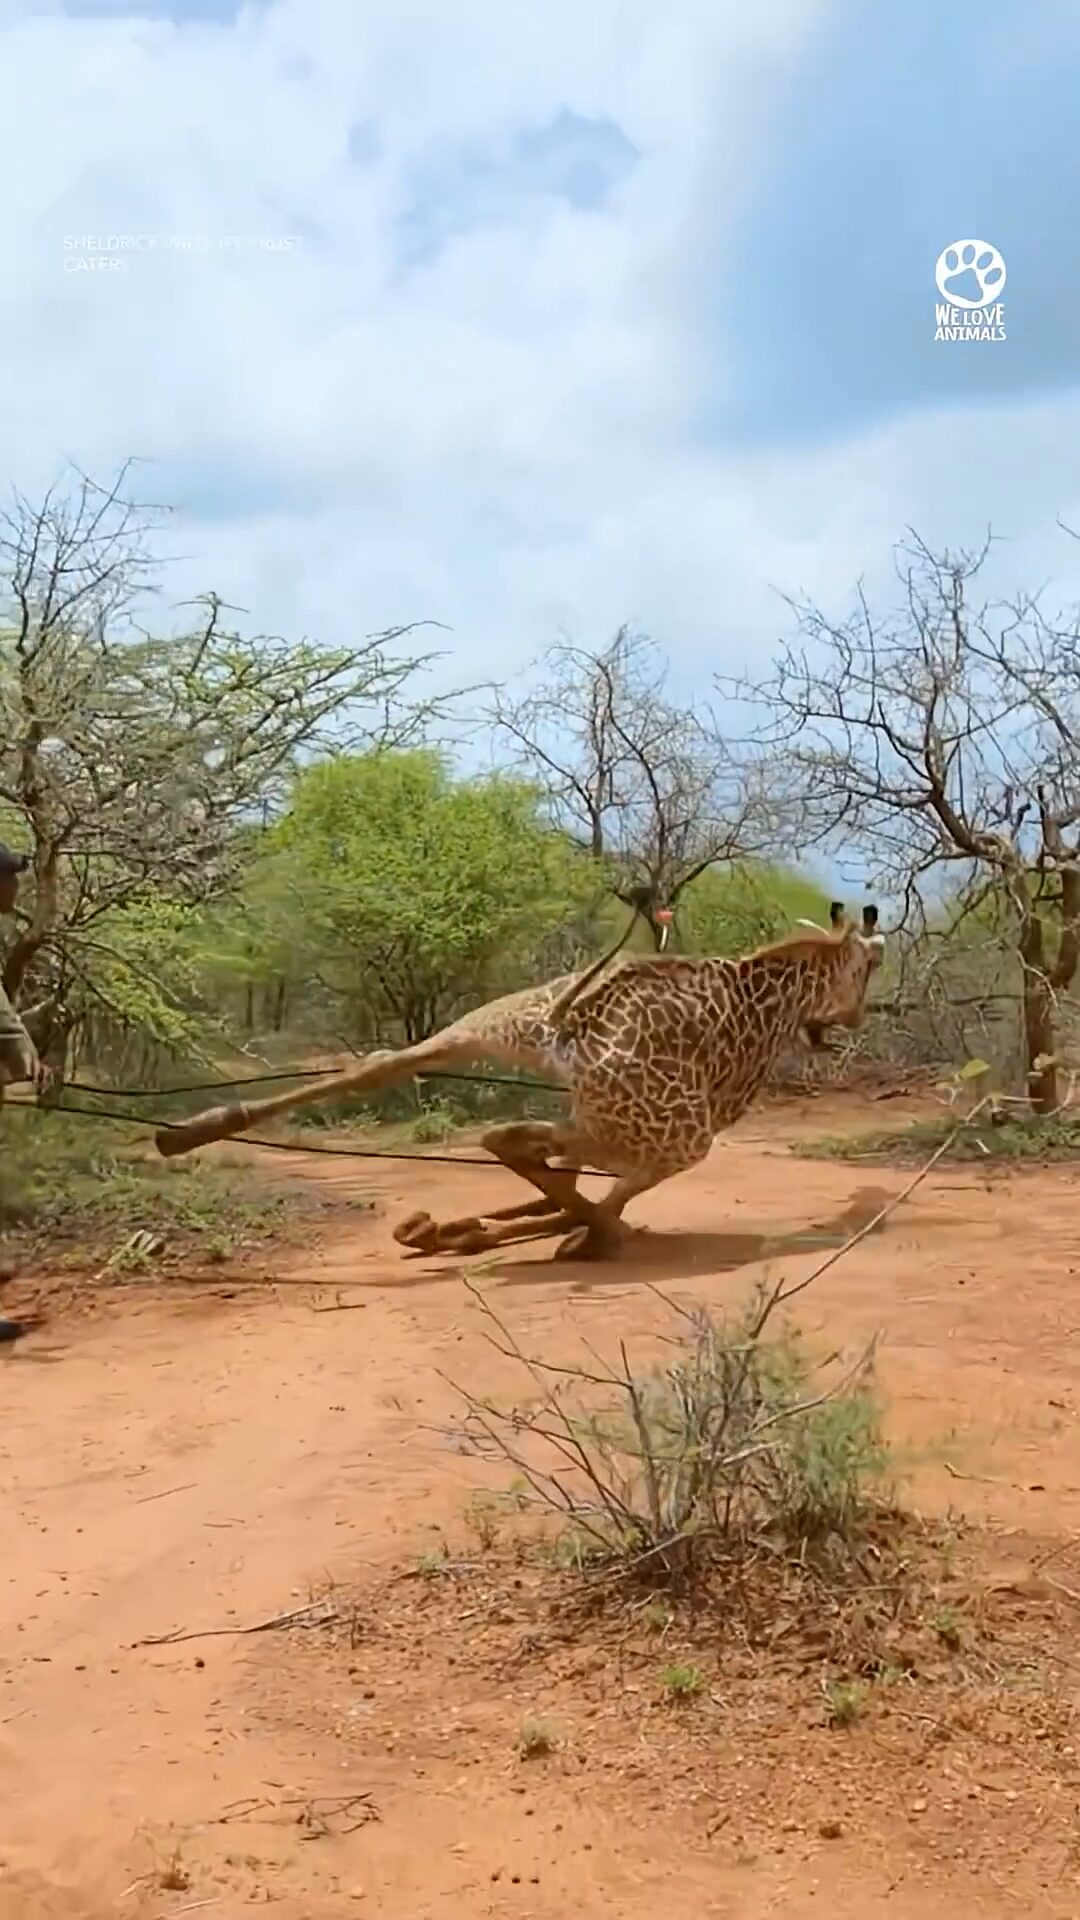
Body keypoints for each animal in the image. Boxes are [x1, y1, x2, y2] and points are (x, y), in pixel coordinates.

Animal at [155, 902, 885, 1263]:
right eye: (870, 970)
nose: (853, 1020)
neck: (771, 1003)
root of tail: (574, 1019)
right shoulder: (667, 1138)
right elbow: (598, 1193)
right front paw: (561, 1232)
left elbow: (562, 1191)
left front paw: (456, 1229)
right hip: (659, 1128)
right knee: (506, 1136)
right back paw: (585, 1240)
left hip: (503, 1025)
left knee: (388, 1064)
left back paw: (185, 1132)